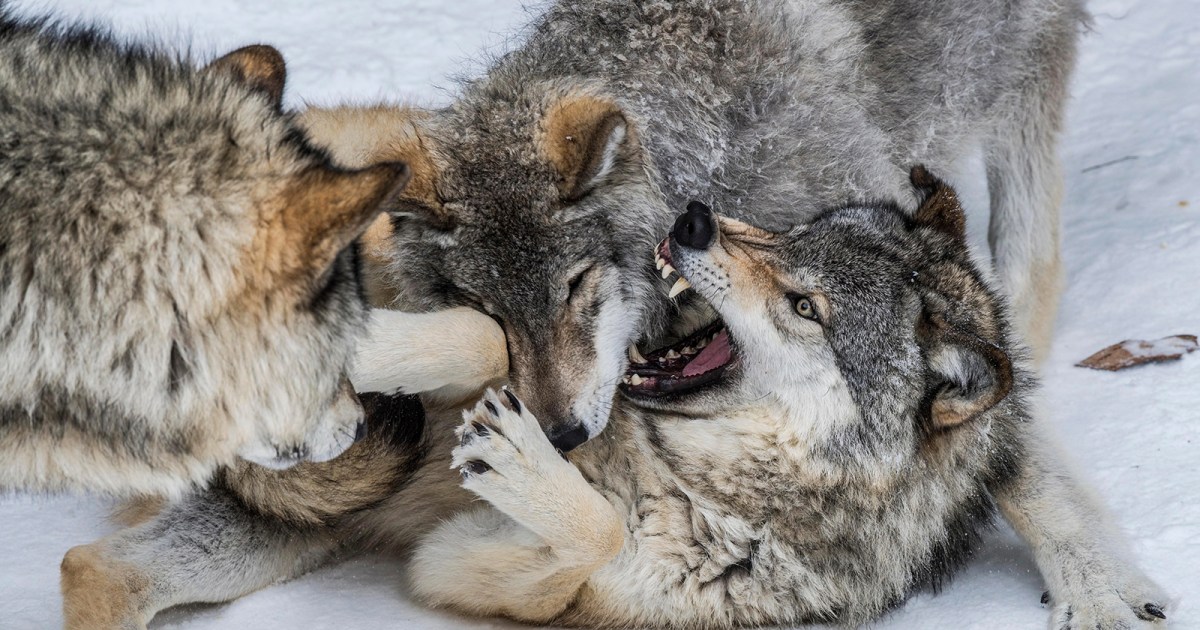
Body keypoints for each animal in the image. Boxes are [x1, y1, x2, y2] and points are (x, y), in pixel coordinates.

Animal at [59, 169, 1166, 629]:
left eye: (806, 306)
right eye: (784, 240)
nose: (694, 221)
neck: (682, 469)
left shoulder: (478, 572)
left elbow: (585, 538)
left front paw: (526, 468)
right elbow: (480, 337)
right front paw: (380, 340)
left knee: (91, 571)